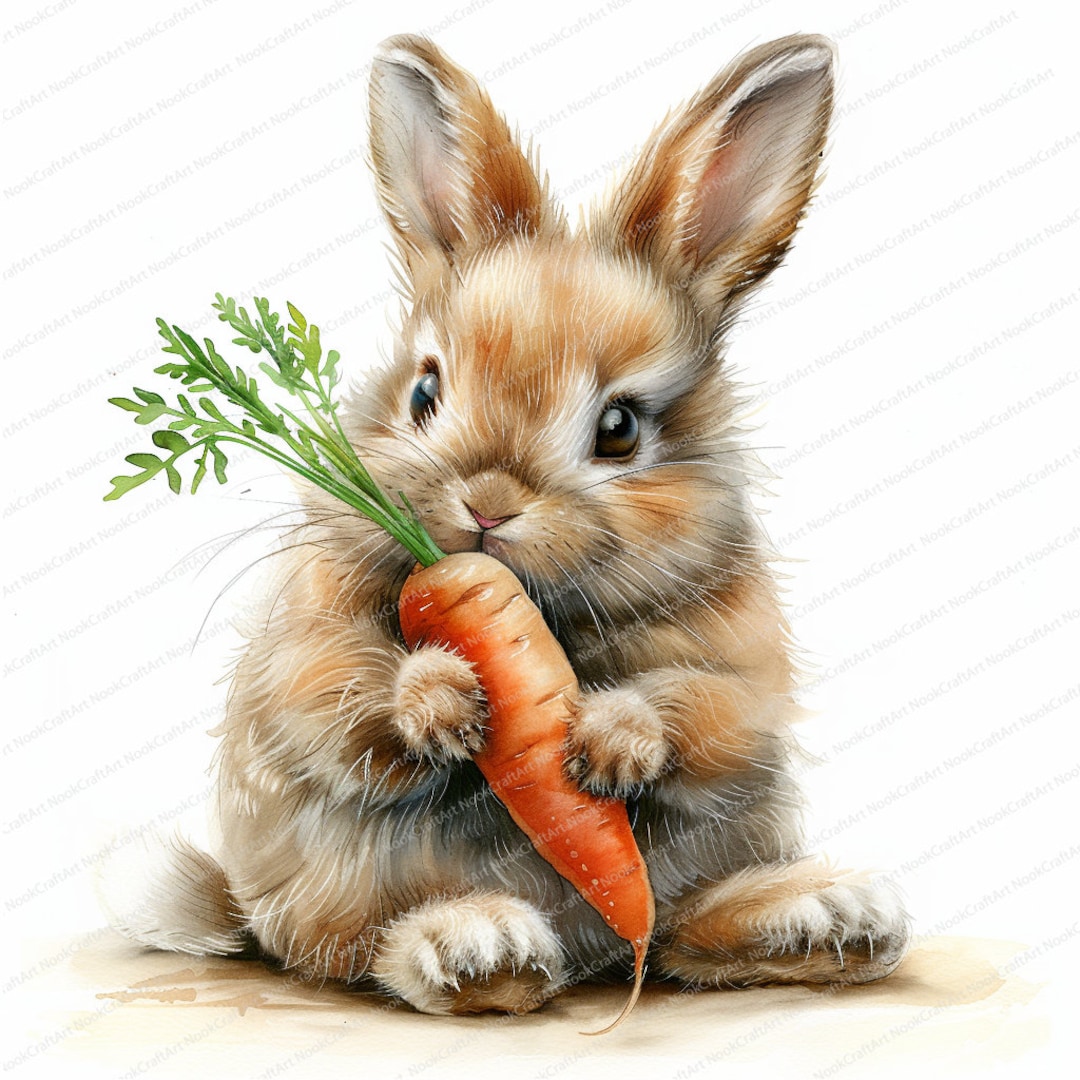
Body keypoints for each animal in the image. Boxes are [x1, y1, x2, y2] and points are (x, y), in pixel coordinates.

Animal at [107, 32, 910, 1016]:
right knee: (353, 950)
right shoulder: (306, 643)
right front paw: (448, 704)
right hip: (337, 886)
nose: (487, 503)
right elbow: (334, 693)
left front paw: (609, 742)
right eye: (424, 392)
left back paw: (830, 916)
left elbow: (712, 712)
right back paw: (478, 945)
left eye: (620, 428)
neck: (540, 616)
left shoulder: (747, 671)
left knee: (675, 933)